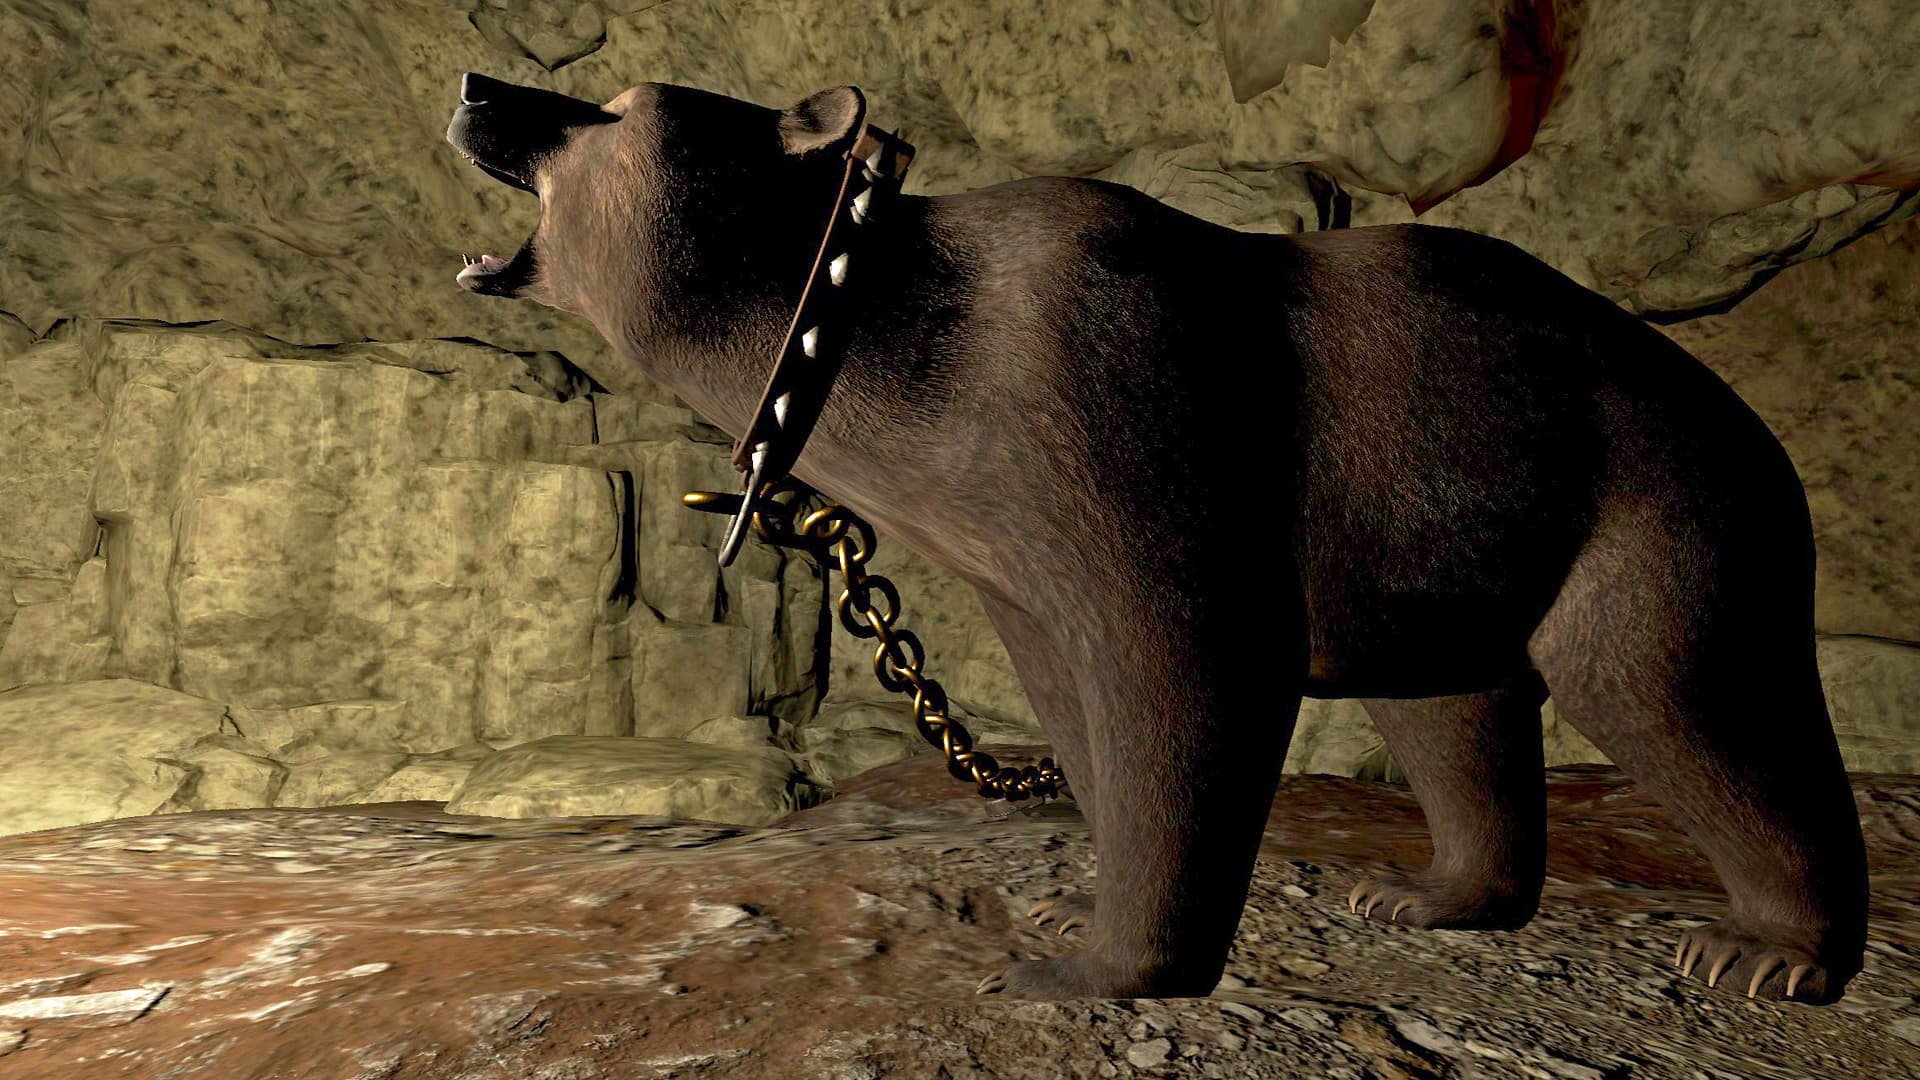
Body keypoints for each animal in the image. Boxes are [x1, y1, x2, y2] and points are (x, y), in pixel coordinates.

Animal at [444, 71, 1869, 1004]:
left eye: (613, 104)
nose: (475, 84)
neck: (870, 338)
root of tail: (1747, 421)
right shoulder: (1008, 550)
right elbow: (1078, 707)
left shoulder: (1106, 409)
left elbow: (1183, 680)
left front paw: (1091, 967)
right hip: (1441, 531)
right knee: (1450, 705)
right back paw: (1431, 895)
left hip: (1648, 497)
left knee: (1684, 696)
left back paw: (1767, 953)